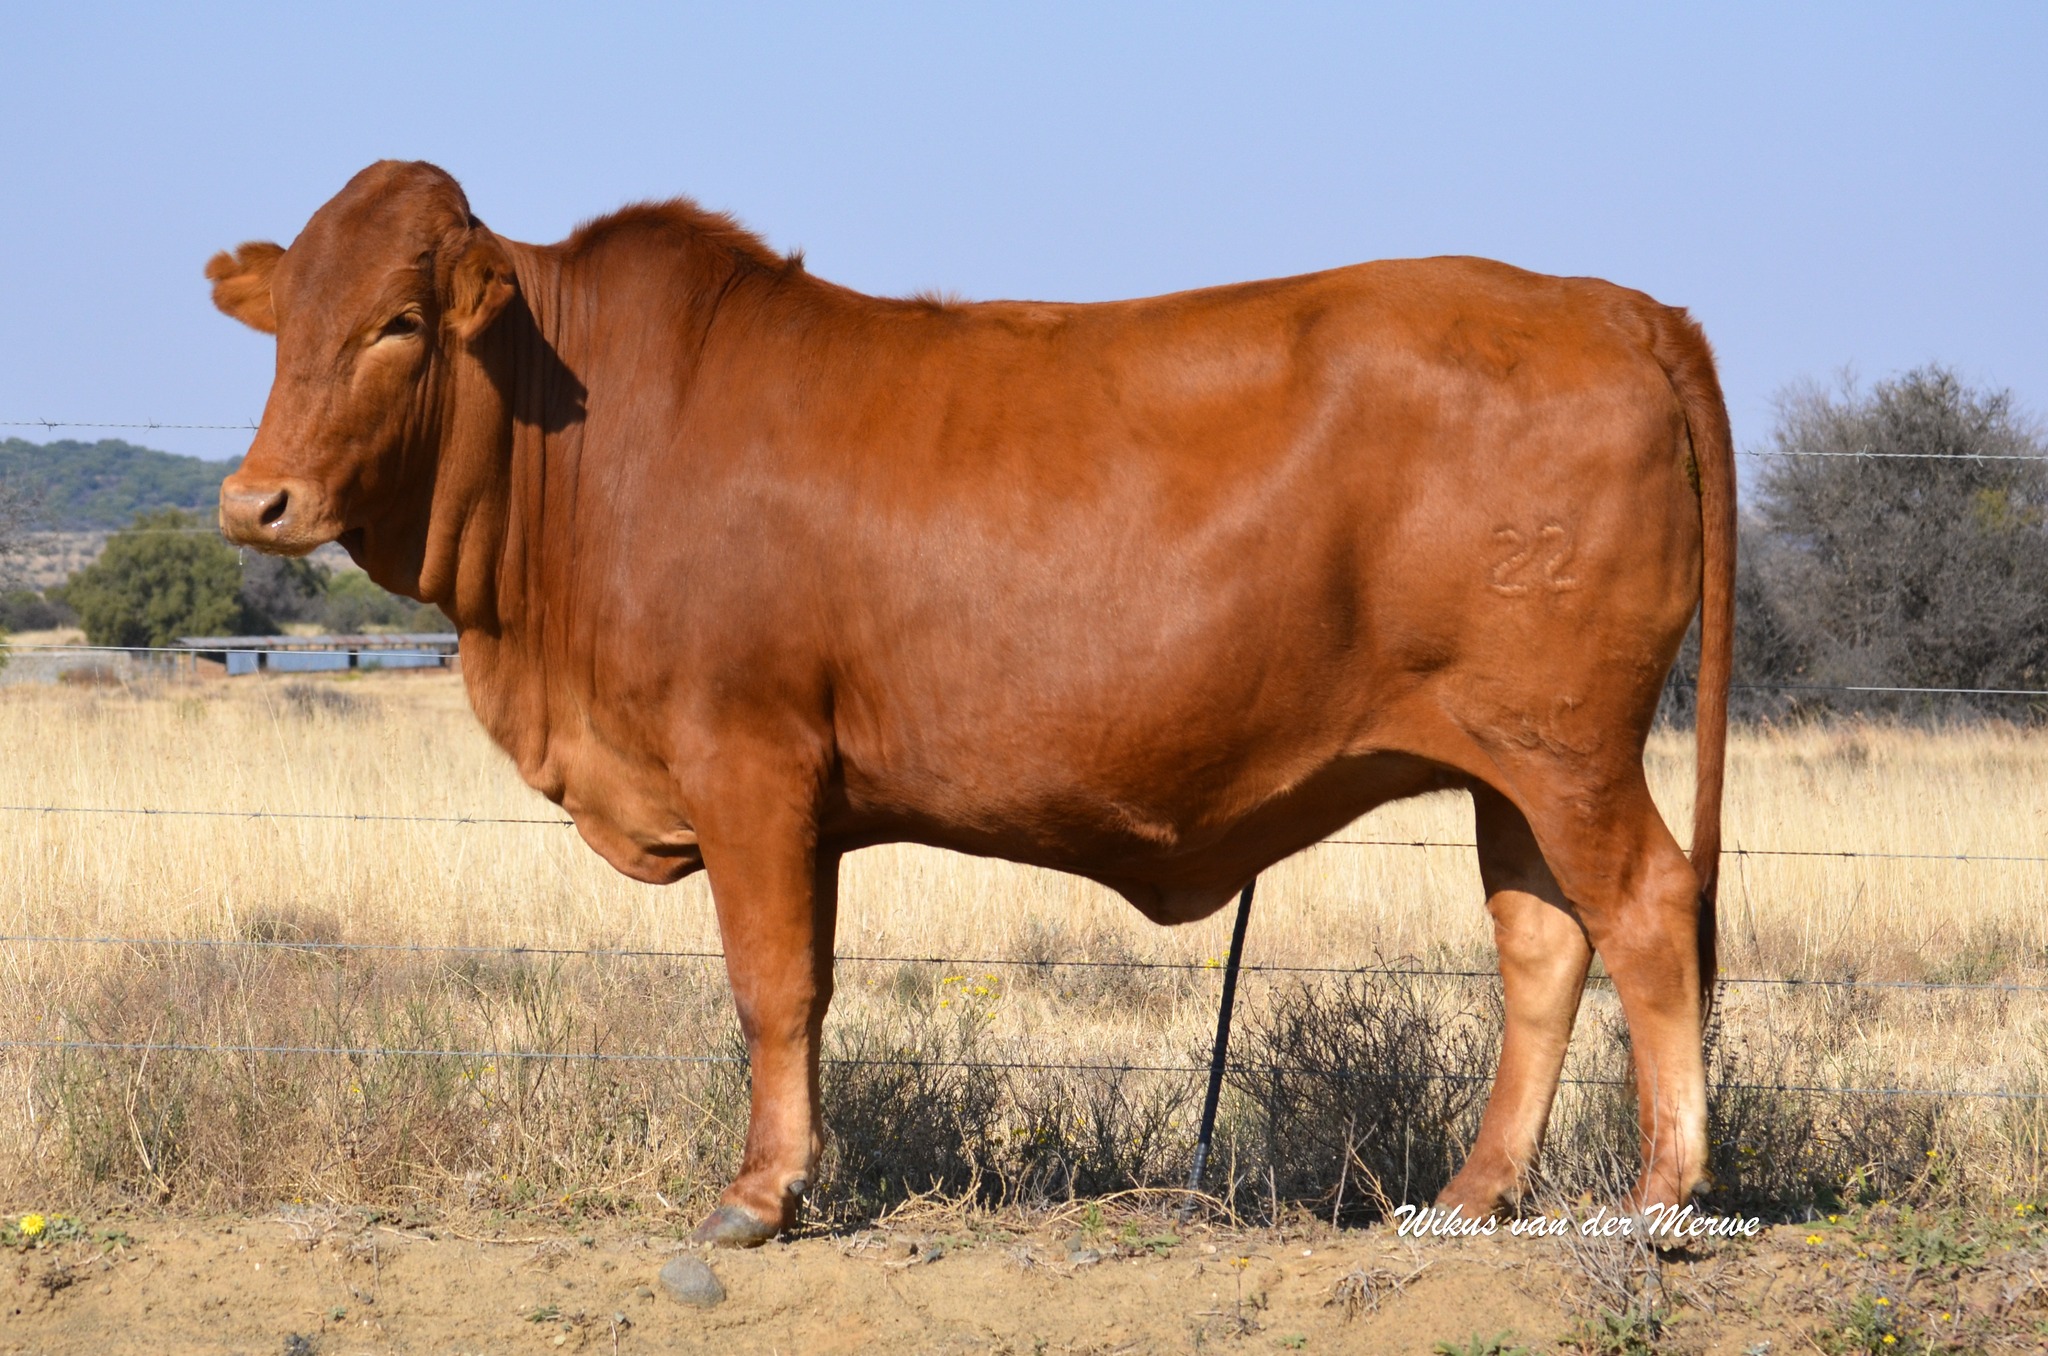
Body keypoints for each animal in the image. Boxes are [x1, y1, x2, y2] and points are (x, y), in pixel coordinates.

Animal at [211, 160, 1734, 1247]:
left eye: (399, 324)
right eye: (284, 324)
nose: (255, 501)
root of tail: (1614, 304)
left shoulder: (747, 755)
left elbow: (773, 984)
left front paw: (759, 1196)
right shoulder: (802, 798)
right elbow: (806, 986)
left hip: (1566, 744)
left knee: (1648, 906)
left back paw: (1665, 1193)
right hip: (1509, 764)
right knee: (1543, 942)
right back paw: (1475, 1194)